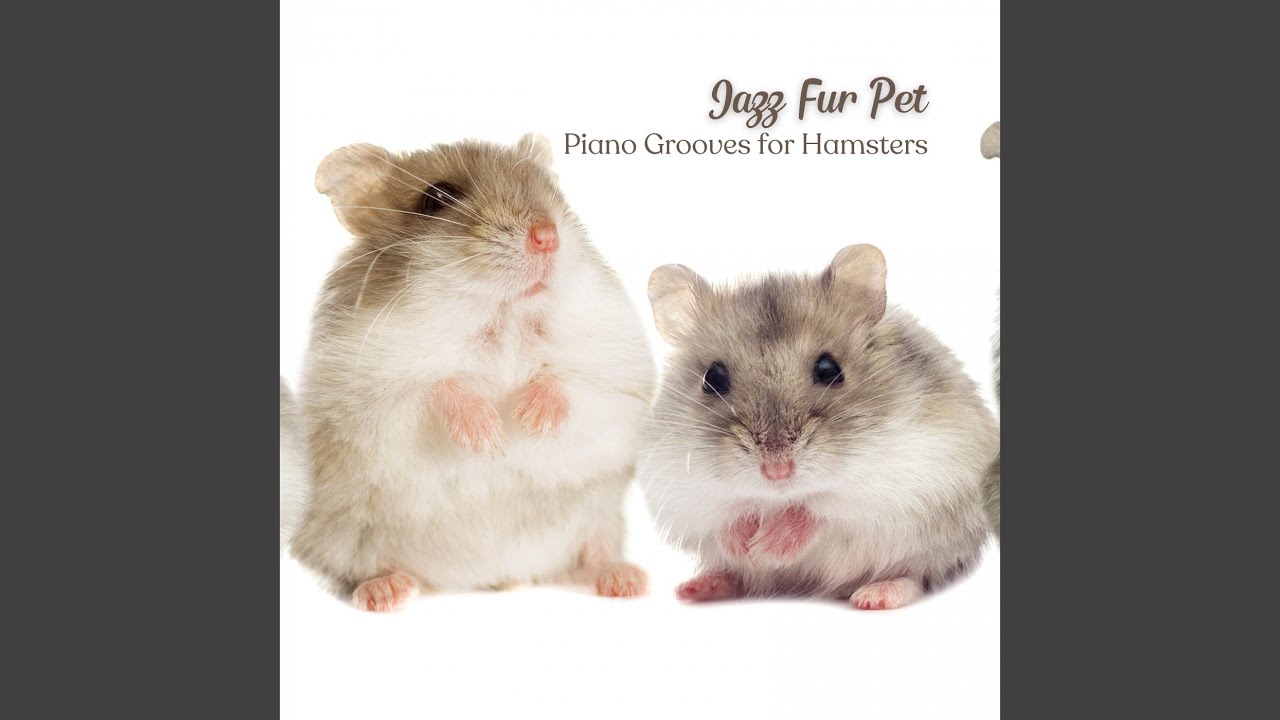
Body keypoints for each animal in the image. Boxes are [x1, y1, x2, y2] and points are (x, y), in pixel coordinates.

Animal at [289, 134, 655, 611]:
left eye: (552, 190)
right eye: (438, 198)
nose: (547, 237)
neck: (503, 317)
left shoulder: (618, 378)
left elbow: (573, 381)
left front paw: (529, 421)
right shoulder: (362, 399)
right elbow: (435, 386)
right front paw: (490, 439)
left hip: (600, 515)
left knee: (594, 552)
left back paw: (626, 580)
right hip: (341, 535)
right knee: (360, 569)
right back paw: (387, 591)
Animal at [639, 244, 998, 610]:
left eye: (829, 369)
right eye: (712, 378)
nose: (777, 470)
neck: (778, 496)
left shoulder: (908, 474)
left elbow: (819, 505)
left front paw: (764, 548)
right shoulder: (680, 487)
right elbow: (727, 513)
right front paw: (747, 548)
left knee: (916, 575)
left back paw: (874, 596)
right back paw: (696, 588)